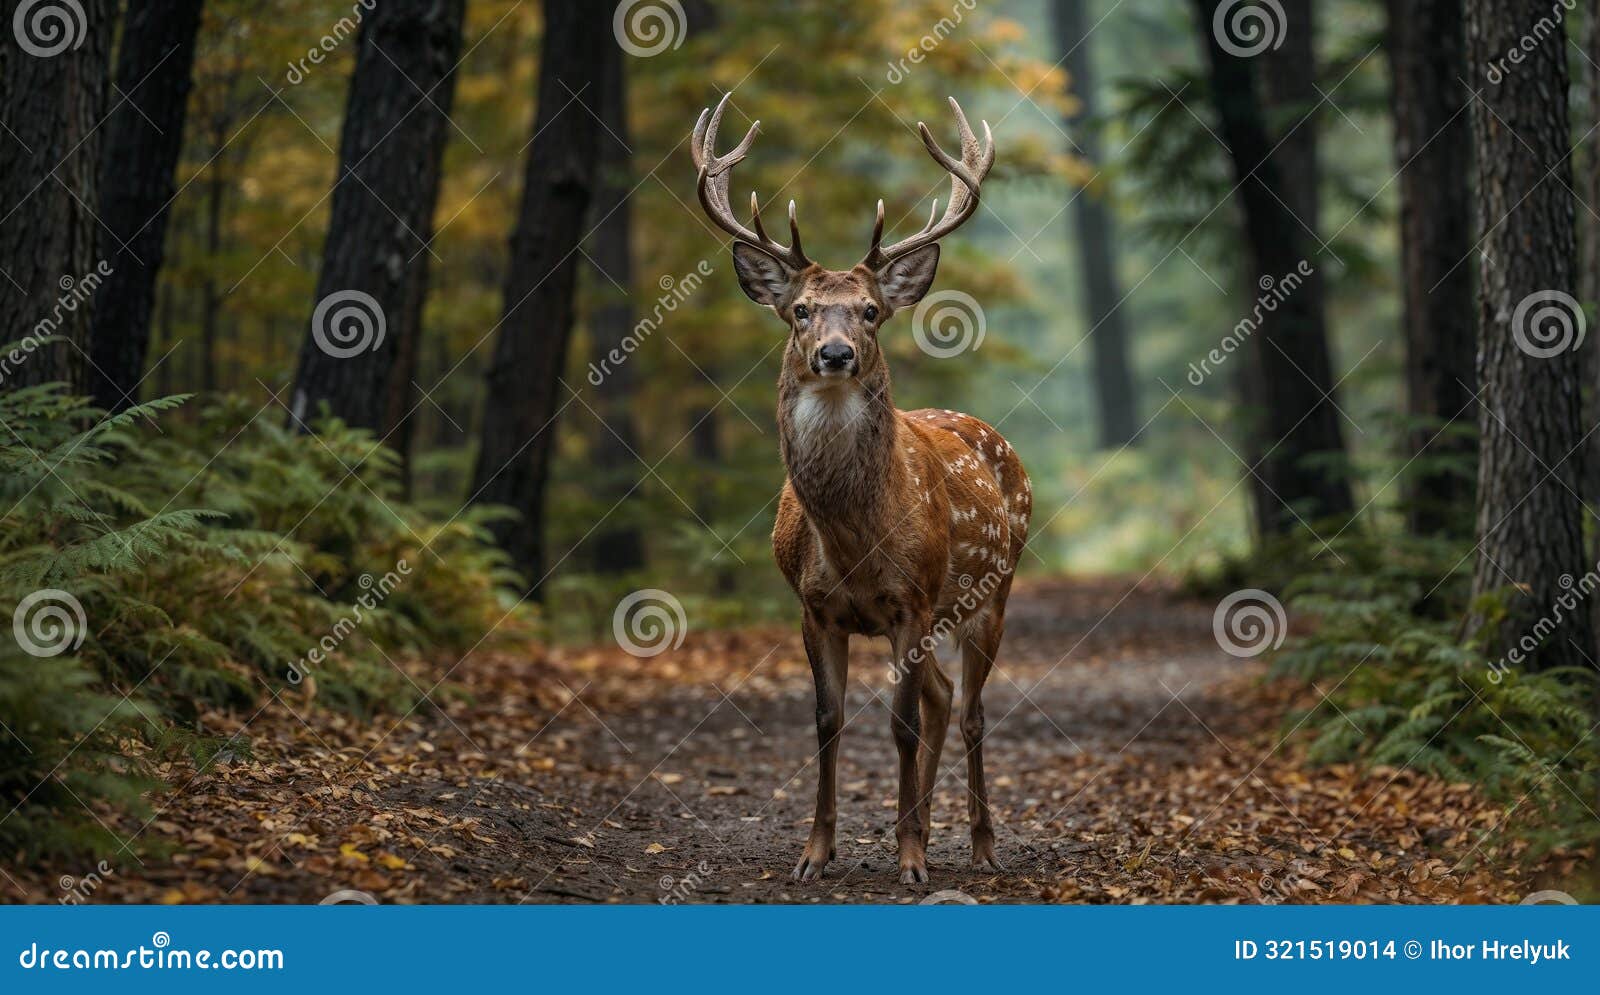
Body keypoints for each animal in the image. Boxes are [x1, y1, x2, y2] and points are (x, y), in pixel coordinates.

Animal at [690, 94, 1030, 884]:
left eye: (871, 310)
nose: (836, 353)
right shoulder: (814, 607)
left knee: (969, 709)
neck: (854, 540)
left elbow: (898, 724)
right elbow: (828, 720)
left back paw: (978, 845)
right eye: (801, 310)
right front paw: (816, 852)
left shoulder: (912, 600)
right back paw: (928, 827)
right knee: (943, 699)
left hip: (991, 588)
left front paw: (908, 858)